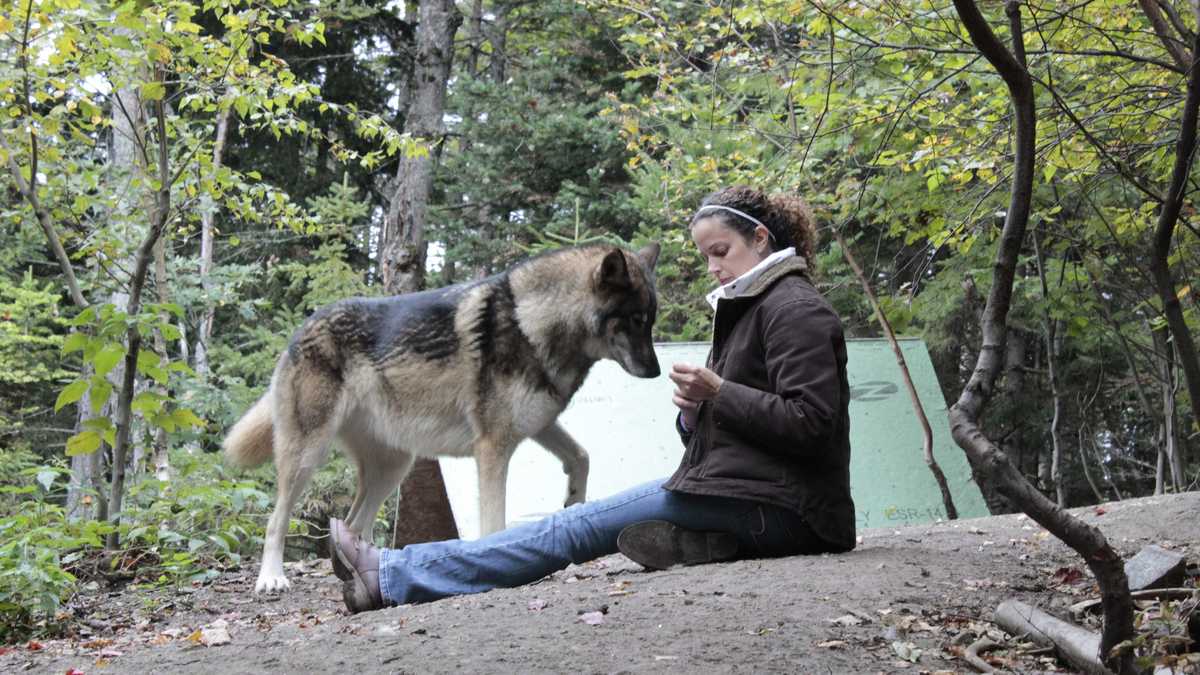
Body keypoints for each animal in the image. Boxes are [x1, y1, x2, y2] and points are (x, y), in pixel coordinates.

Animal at [222, 244, 661, 593]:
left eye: (651, 320)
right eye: (637, 320)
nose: (657, 372)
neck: (531, 323)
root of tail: (298, 331)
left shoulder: (536, 425)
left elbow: (581, 456)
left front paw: (573, 500)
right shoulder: (493, 446)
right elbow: (494, 522)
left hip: (393, 468)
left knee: (351, 523)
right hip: (308, 458)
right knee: (276, 521)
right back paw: (272, 579)